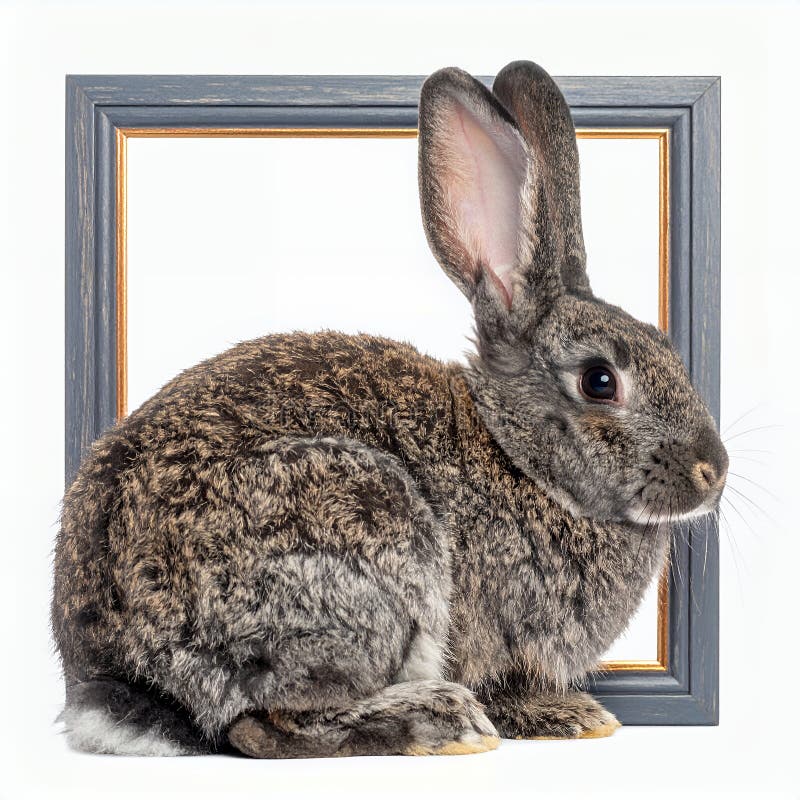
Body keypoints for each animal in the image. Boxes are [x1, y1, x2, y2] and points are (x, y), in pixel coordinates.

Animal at [52, 60, 728, 758]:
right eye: (599, 381)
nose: (714, 470)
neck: (518, 459)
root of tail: (114, 670)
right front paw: (566, 715)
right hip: (364, 536)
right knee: (266, 726)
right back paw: (442, 721)